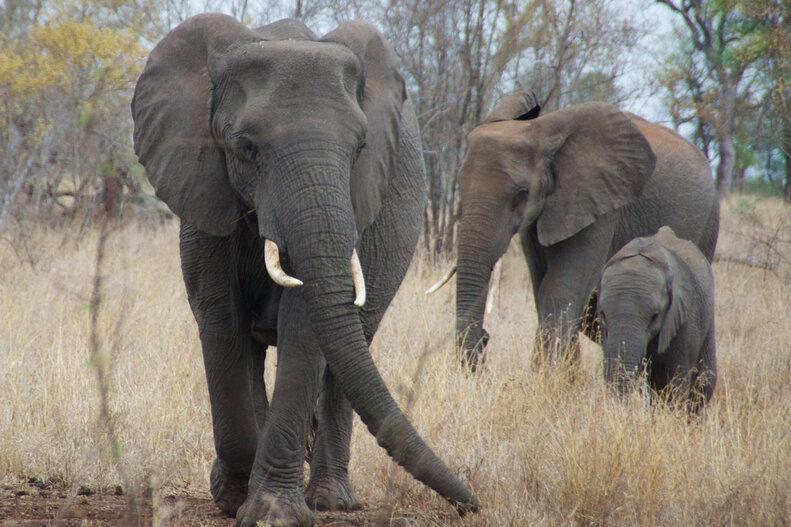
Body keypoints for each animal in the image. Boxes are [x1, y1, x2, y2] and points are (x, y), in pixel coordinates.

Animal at [131, 14, 477, 527]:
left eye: (360, 147)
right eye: (247, 148)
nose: (473, 502)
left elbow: (305, 327)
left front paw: (271, 513)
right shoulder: (204, 190)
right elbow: (221, 323)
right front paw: (232, 497)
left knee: (348, 354)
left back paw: (331, 500)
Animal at [449, 91, 719, 371]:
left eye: (522, 193)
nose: (485, 338)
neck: (542, 132)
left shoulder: (600, 203)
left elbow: (561, 288)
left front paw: (549, 376)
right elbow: (543, 287)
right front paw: (563, 375)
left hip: (708, 224)